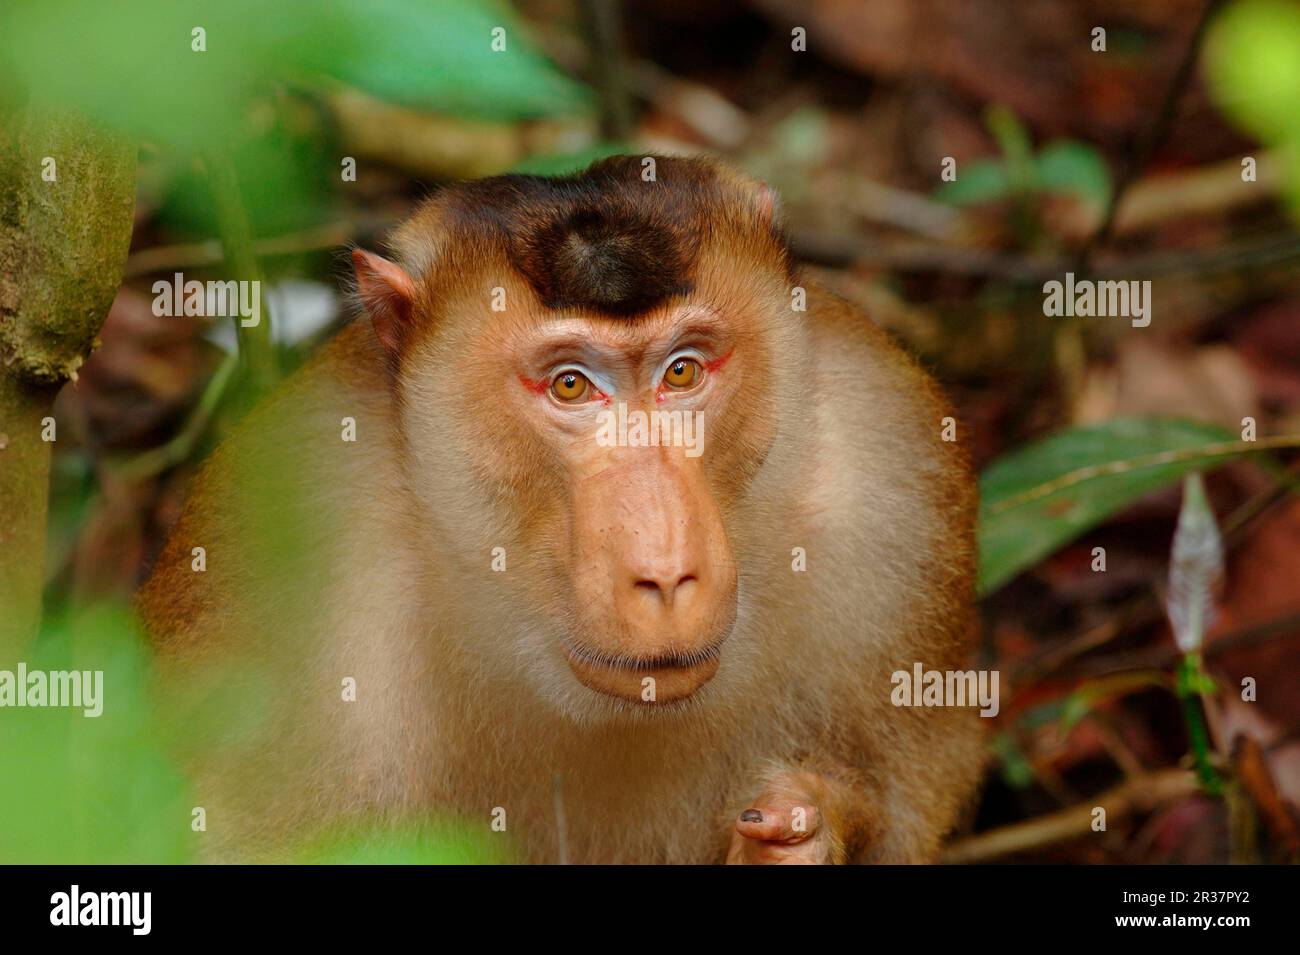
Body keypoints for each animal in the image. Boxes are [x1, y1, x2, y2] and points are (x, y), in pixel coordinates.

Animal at [138, 154, 984, 864]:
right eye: (571, 384)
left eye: (682, 371)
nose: (664, 573)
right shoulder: (278, 565)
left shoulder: (894, 467)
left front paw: (803, 830)